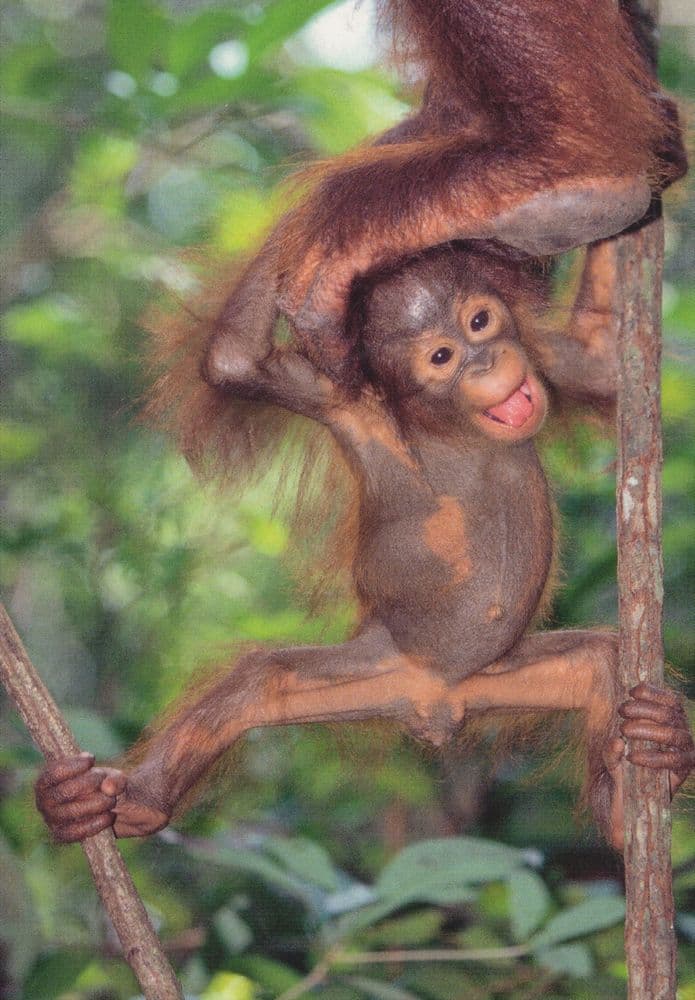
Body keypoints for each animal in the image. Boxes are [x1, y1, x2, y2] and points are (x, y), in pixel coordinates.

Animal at [35, 240, 695, 851]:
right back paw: (129, 803)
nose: (485, 360)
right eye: (441, 357)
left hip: (498, 675)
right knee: (259, 681)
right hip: (374, 667)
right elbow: (234, 362)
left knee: (600, 661)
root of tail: (436, 701)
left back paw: (641, 778)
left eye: (480, 321)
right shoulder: (346, 405)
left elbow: (600, 358)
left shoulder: (546, 360)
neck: (454, 430)